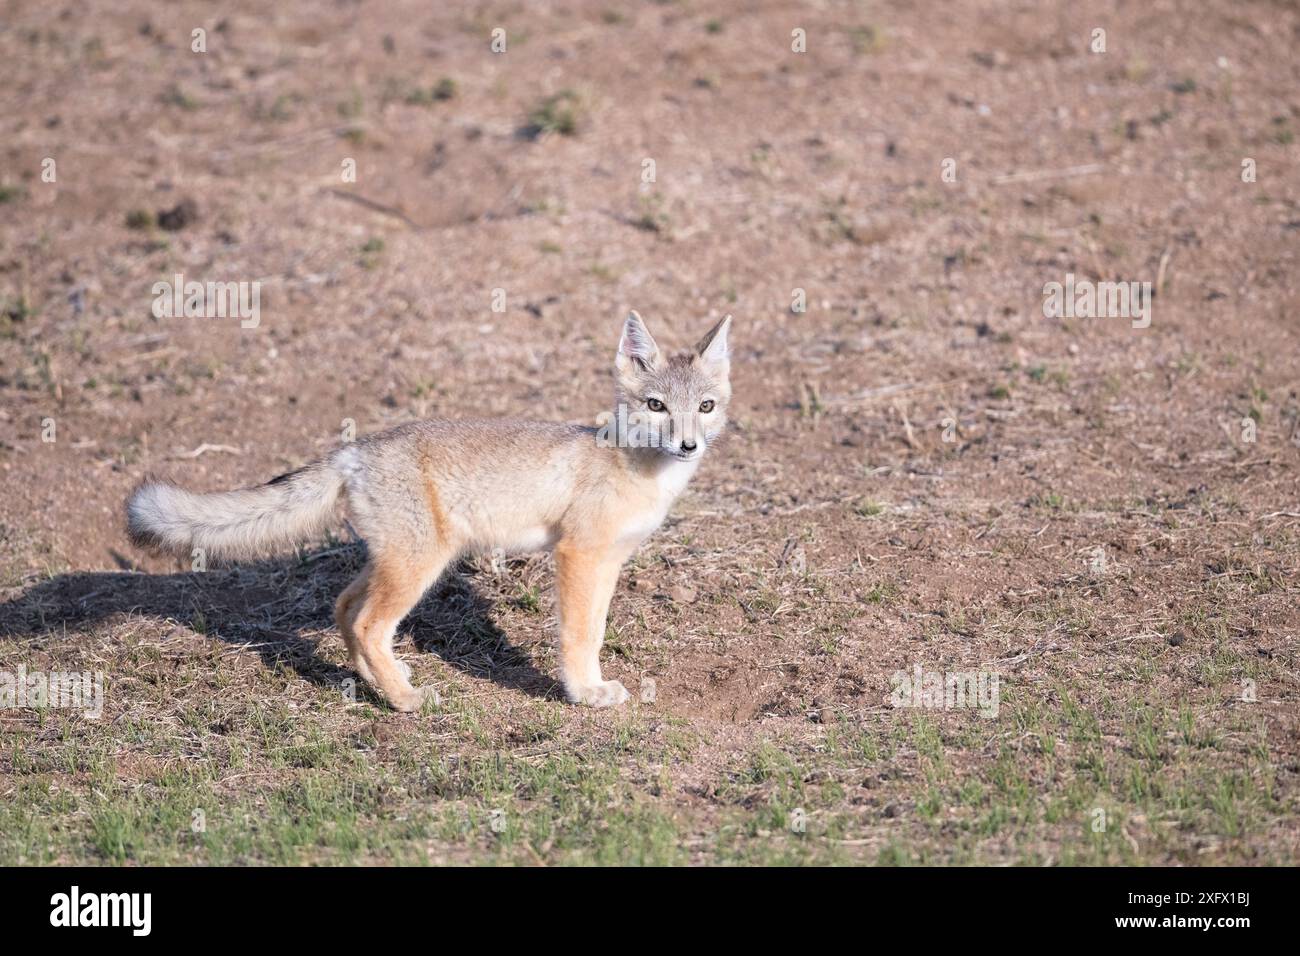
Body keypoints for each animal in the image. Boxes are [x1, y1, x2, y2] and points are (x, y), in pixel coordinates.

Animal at [126, 311, 732, 711]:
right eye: (656, 406)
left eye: (705, 406)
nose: (687, 446)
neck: (636, 469)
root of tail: (356, 450)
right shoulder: (578, 555)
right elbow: (580, 634)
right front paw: (583, 693)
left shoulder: (607, 561)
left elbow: (598, 629)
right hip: (419, 565)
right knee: (368, 622)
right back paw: (404, 700)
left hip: (396, 560)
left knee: (344, 606)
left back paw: (379, 681)